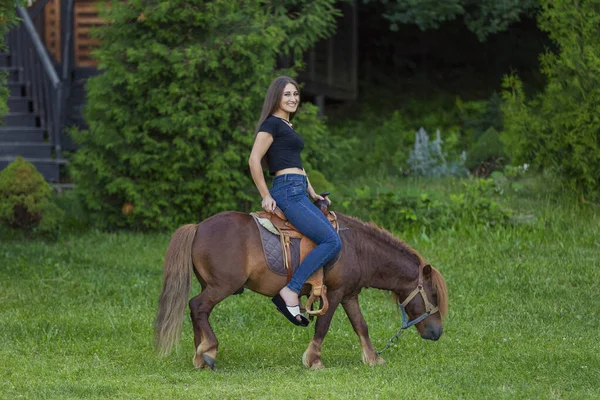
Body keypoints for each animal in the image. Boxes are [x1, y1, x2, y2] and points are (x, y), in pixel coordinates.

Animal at [152, 211, 448, 370]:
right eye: (433, 296)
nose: (437, 333)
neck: (357, 249)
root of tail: (198, 227)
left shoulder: (349, 294)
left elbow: (361, 326)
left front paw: (373, 358)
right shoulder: (334, 294)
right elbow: (323, 326)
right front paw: (314, 360)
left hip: (210, 285)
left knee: (198, 312)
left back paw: (201, 353)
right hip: (221, 286)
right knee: (197, 306)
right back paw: (209, 349)